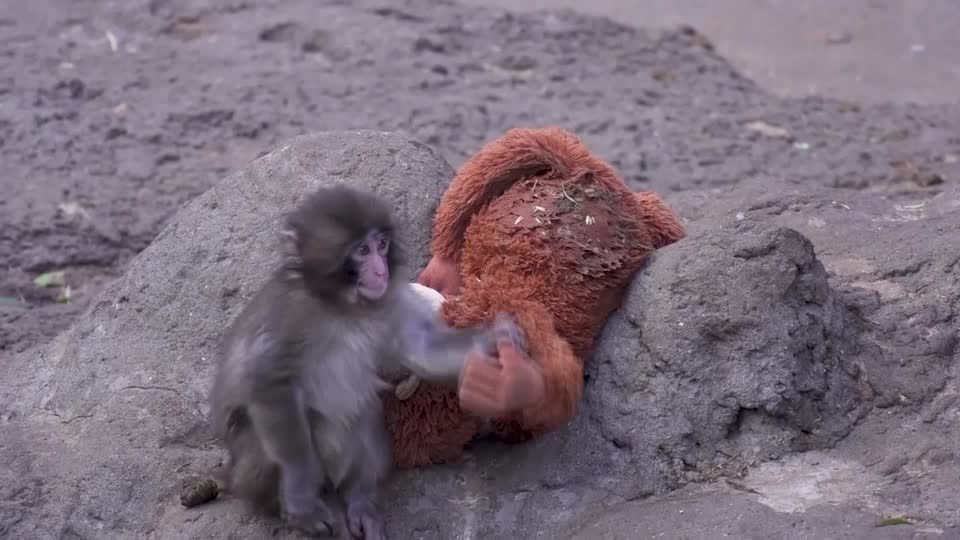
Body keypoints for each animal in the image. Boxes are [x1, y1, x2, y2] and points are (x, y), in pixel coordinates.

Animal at [207, 184, 521, 539]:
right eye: (361, 250)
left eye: (381, 245)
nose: (381, 271)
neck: (345, 309)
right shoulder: (290, 319)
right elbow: (270, 383)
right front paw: (301, 494)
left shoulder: (390, 303)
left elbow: (424, 349)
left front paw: (497, 337)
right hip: (251, 469)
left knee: (360, 416)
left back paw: (360, 500)